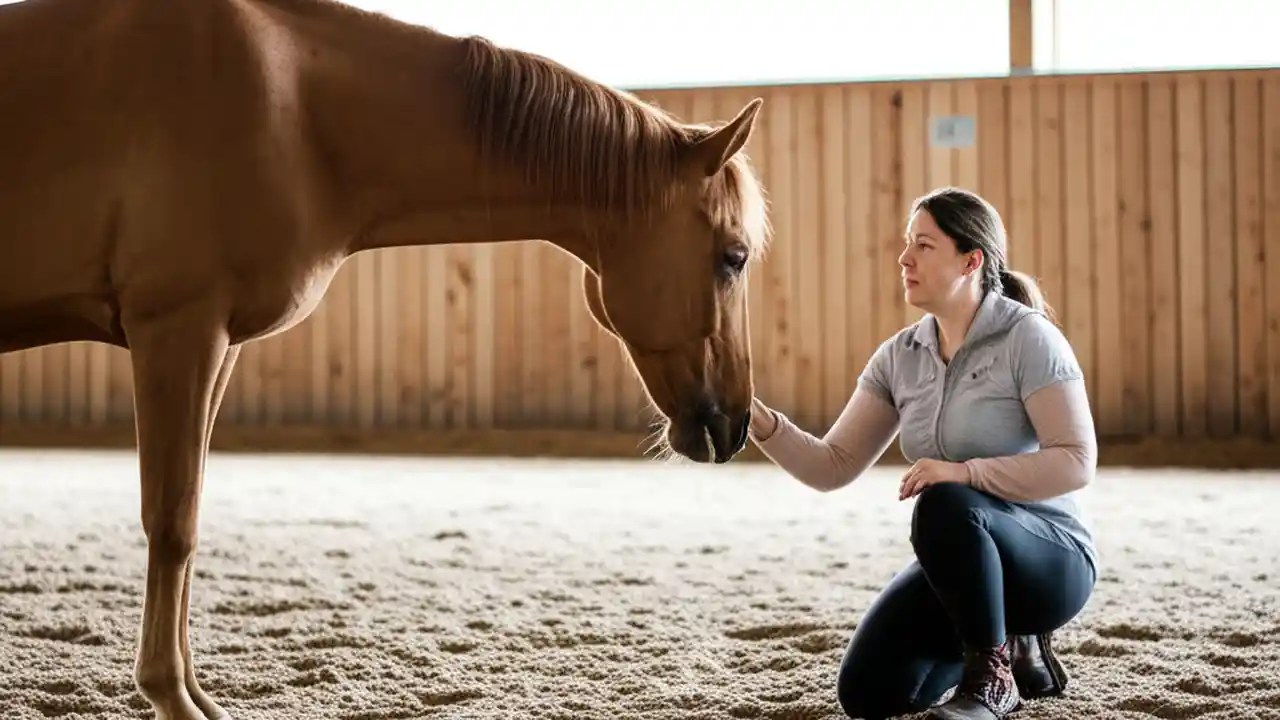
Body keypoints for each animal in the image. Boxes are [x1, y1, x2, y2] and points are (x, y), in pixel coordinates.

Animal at [0, 0, 770, 717]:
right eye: (733, 256)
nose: (734, 426)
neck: (291, 106)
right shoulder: (178, 331)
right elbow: (171, 522)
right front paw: (169, 696)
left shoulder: (216, 346)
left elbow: (186, 519)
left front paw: (191, 693)